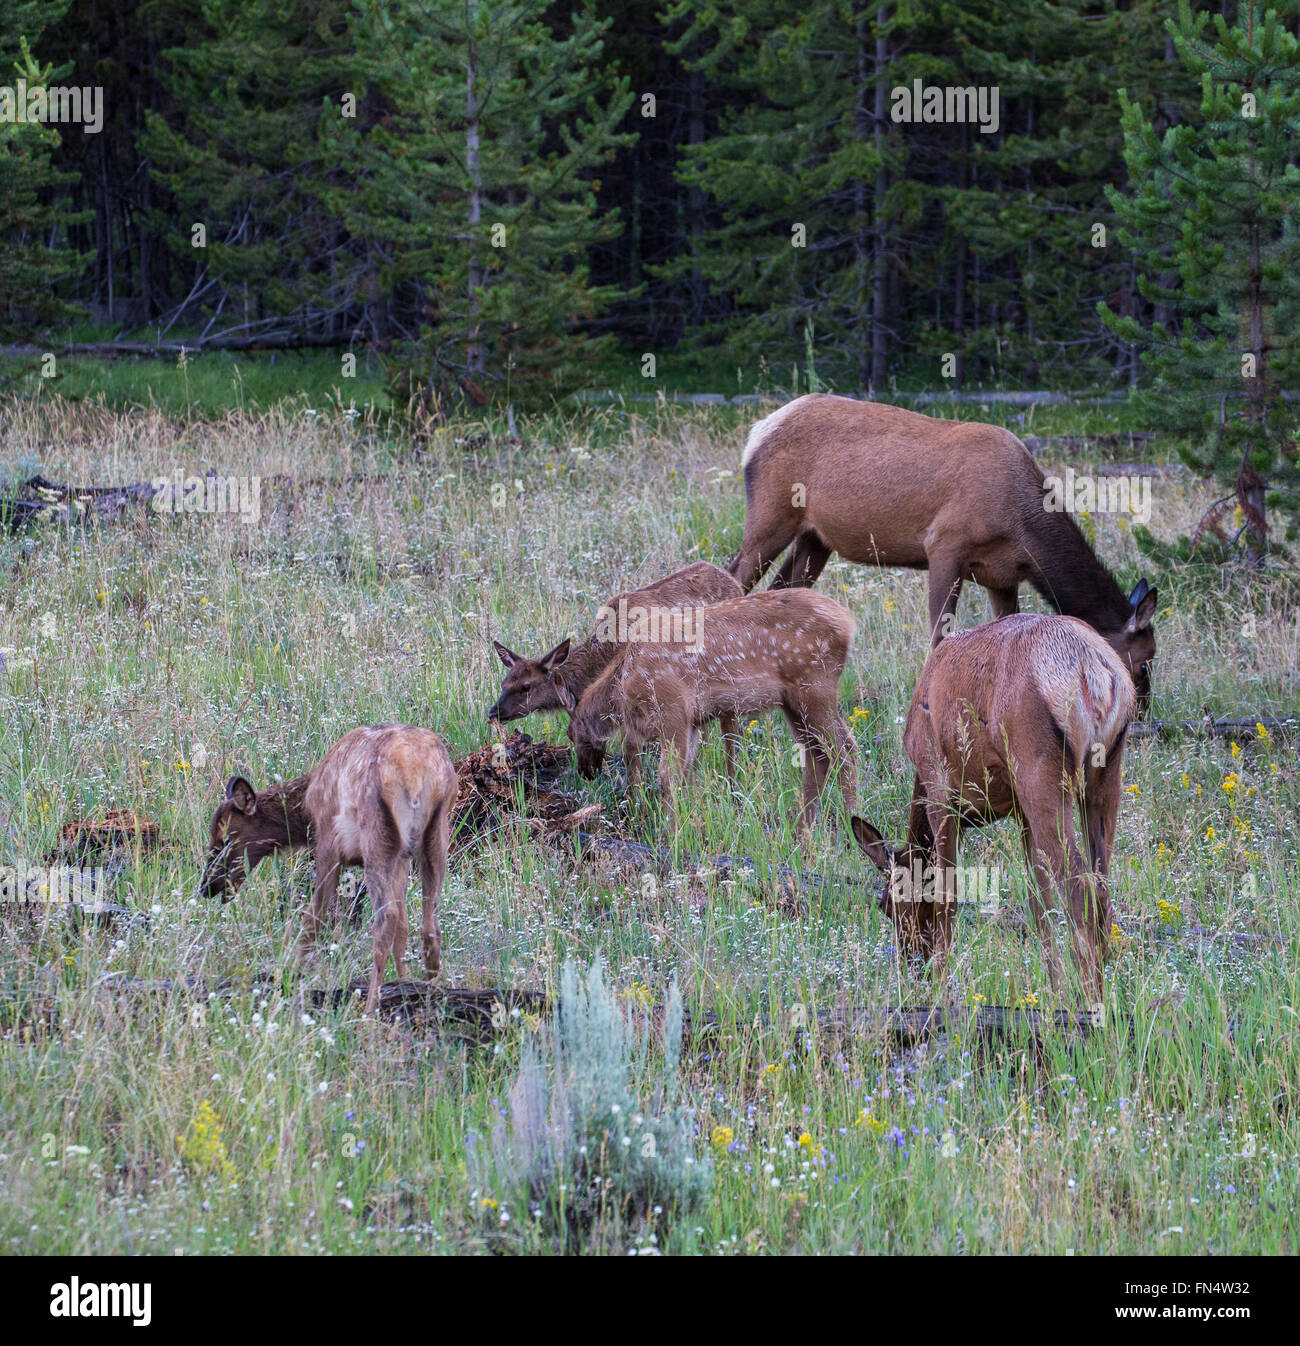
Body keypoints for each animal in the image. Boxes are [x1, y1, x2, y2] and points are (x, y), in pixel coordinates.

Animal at [198, 725, 458, 1015]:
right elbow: (402, 927)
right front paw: (404, 982)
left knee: (385, 918)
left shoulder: (327, 846)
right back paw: (431, 997)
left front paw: (287, 983)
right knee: (428, 924)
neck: (306, 812)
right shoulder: (402, 858)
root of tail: (414, 775)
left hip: (377, 836)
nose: (207, 886)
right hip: (436, 835)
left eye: (226, 838)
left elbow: (312, 920)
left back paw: (369, 1012)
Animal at [566, 588, 858, 835]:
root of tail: (848, 622)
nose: (584, 772)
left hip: (815, 686)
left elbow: (668, 776)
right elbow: (686, 773)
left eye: (571, 733)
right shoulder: (693, 721)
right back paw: (802, 830)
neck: (626, 687)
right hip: (793, 704)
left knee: (844, 750)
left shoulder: (673, 710)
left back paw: (850, 825)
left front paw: (672, 832)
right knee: (819, 755)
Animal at [729, 394, 1158, 715]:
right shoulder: (944, 546)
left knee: (782, 589)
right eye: (1142, 661)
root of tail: (757, 431)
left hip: (815, 537)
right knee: (735, 578)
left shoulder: (1002, 576)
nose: (1140, 712)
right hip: (771, 515)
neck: (1024, 528)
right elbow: (940, 635)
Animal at [850, 613, 1136, 1001]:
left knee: (1081, 890)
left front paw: (941, 989)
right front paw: (1054, 991)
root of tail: (1093, 672)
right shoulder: (1020, 812)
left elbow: (947, 894)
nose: (913, 965)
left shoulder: (939, 788)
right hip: (1104, 775)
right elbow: (1038, 901)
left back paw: (1091, 1003)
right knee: (1103, 889)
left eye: (886, 905)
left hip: (1040, 772)